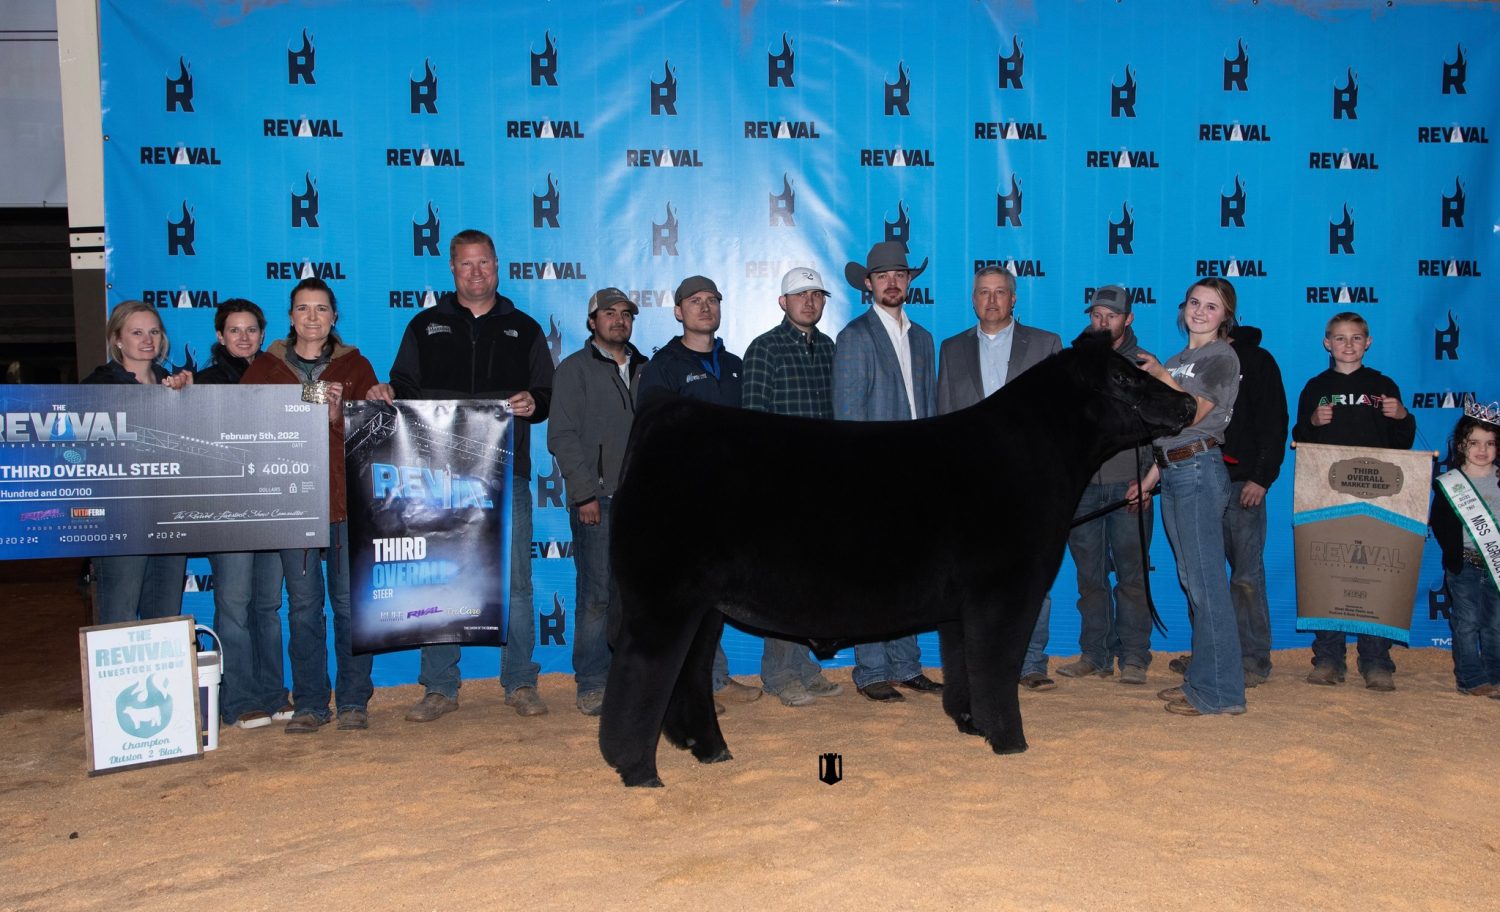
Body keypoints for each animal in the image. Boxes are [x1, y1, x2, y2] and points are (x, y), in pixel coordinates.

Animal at [598, 331, 1196, 787]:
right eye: (1123, 378)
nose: (1188, 404)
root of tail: (669, 411)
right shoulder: (1007, 590)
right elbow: (997, 667)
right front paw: (1011, 741)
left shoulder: (964, 605)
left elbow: (964, 663)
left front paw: (971, 724)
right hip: (661, 597)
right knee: (638, 675)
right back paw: (639, 770)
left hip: (703, 605)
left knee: (690, 674)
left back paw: (709, 749)